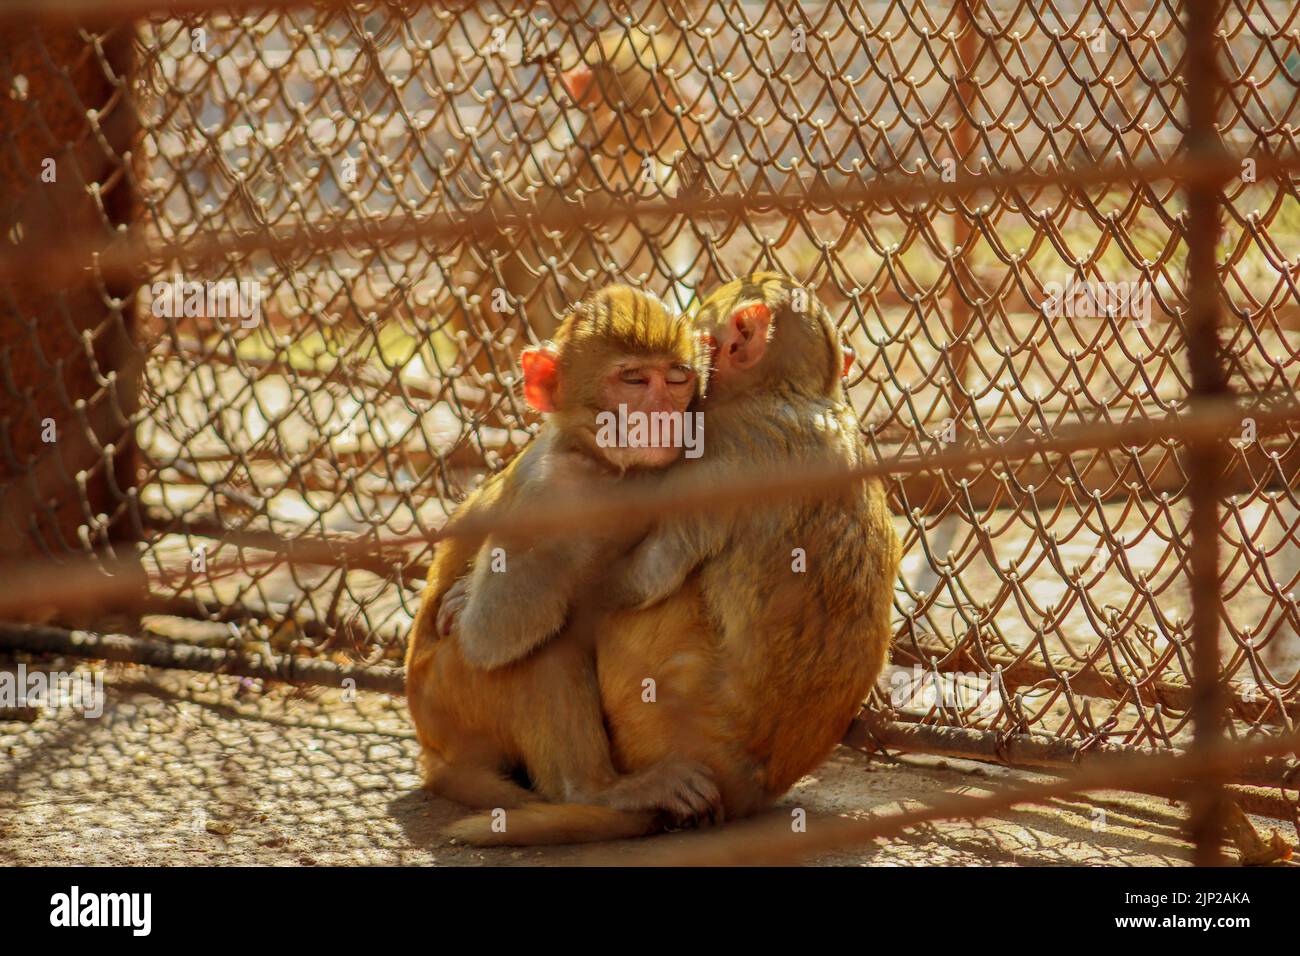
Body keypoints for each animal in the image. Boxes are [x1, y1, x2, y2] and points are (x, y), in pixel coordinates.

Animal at [404, 283, 722, 825]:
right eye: (633, 379)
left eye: (677, 377)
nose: (663, 413)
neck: (600, 463)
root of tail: (432, 749)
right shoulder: (546, 494)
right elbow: (493, 632)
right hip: (449, 696)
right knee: (540, 642)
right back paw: (596, 792)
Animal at [439, 273, 900, 844]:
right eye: (640, 382)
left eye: (681, 375)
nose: (664, 412)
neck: (794, 394)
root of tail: (747, 790)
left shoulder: (717, 449)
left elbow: (636, 581)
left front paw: (465, 595)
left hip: (653, 724)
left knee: (555, 632)